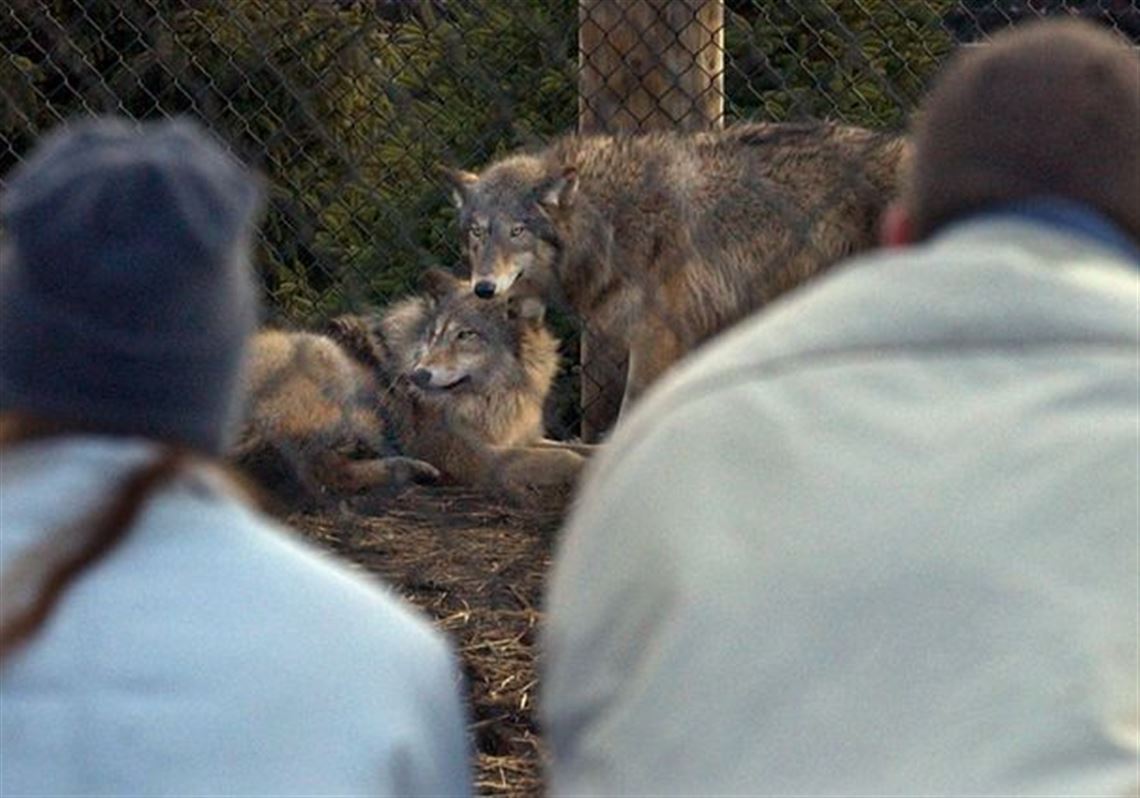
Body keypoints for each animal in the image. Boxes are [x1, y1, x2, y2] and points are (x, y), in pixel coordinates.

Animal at [231, 270, 590, 511]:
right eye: (434, 335)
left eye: (466, 335)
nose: (417, 375)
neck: (493, 396)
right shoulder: (471, 457)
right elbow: (567, 458)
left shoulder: (519, 438)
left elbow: (581, 446)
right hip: (331, 365)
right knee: (324, 472)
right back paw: (413, 471)